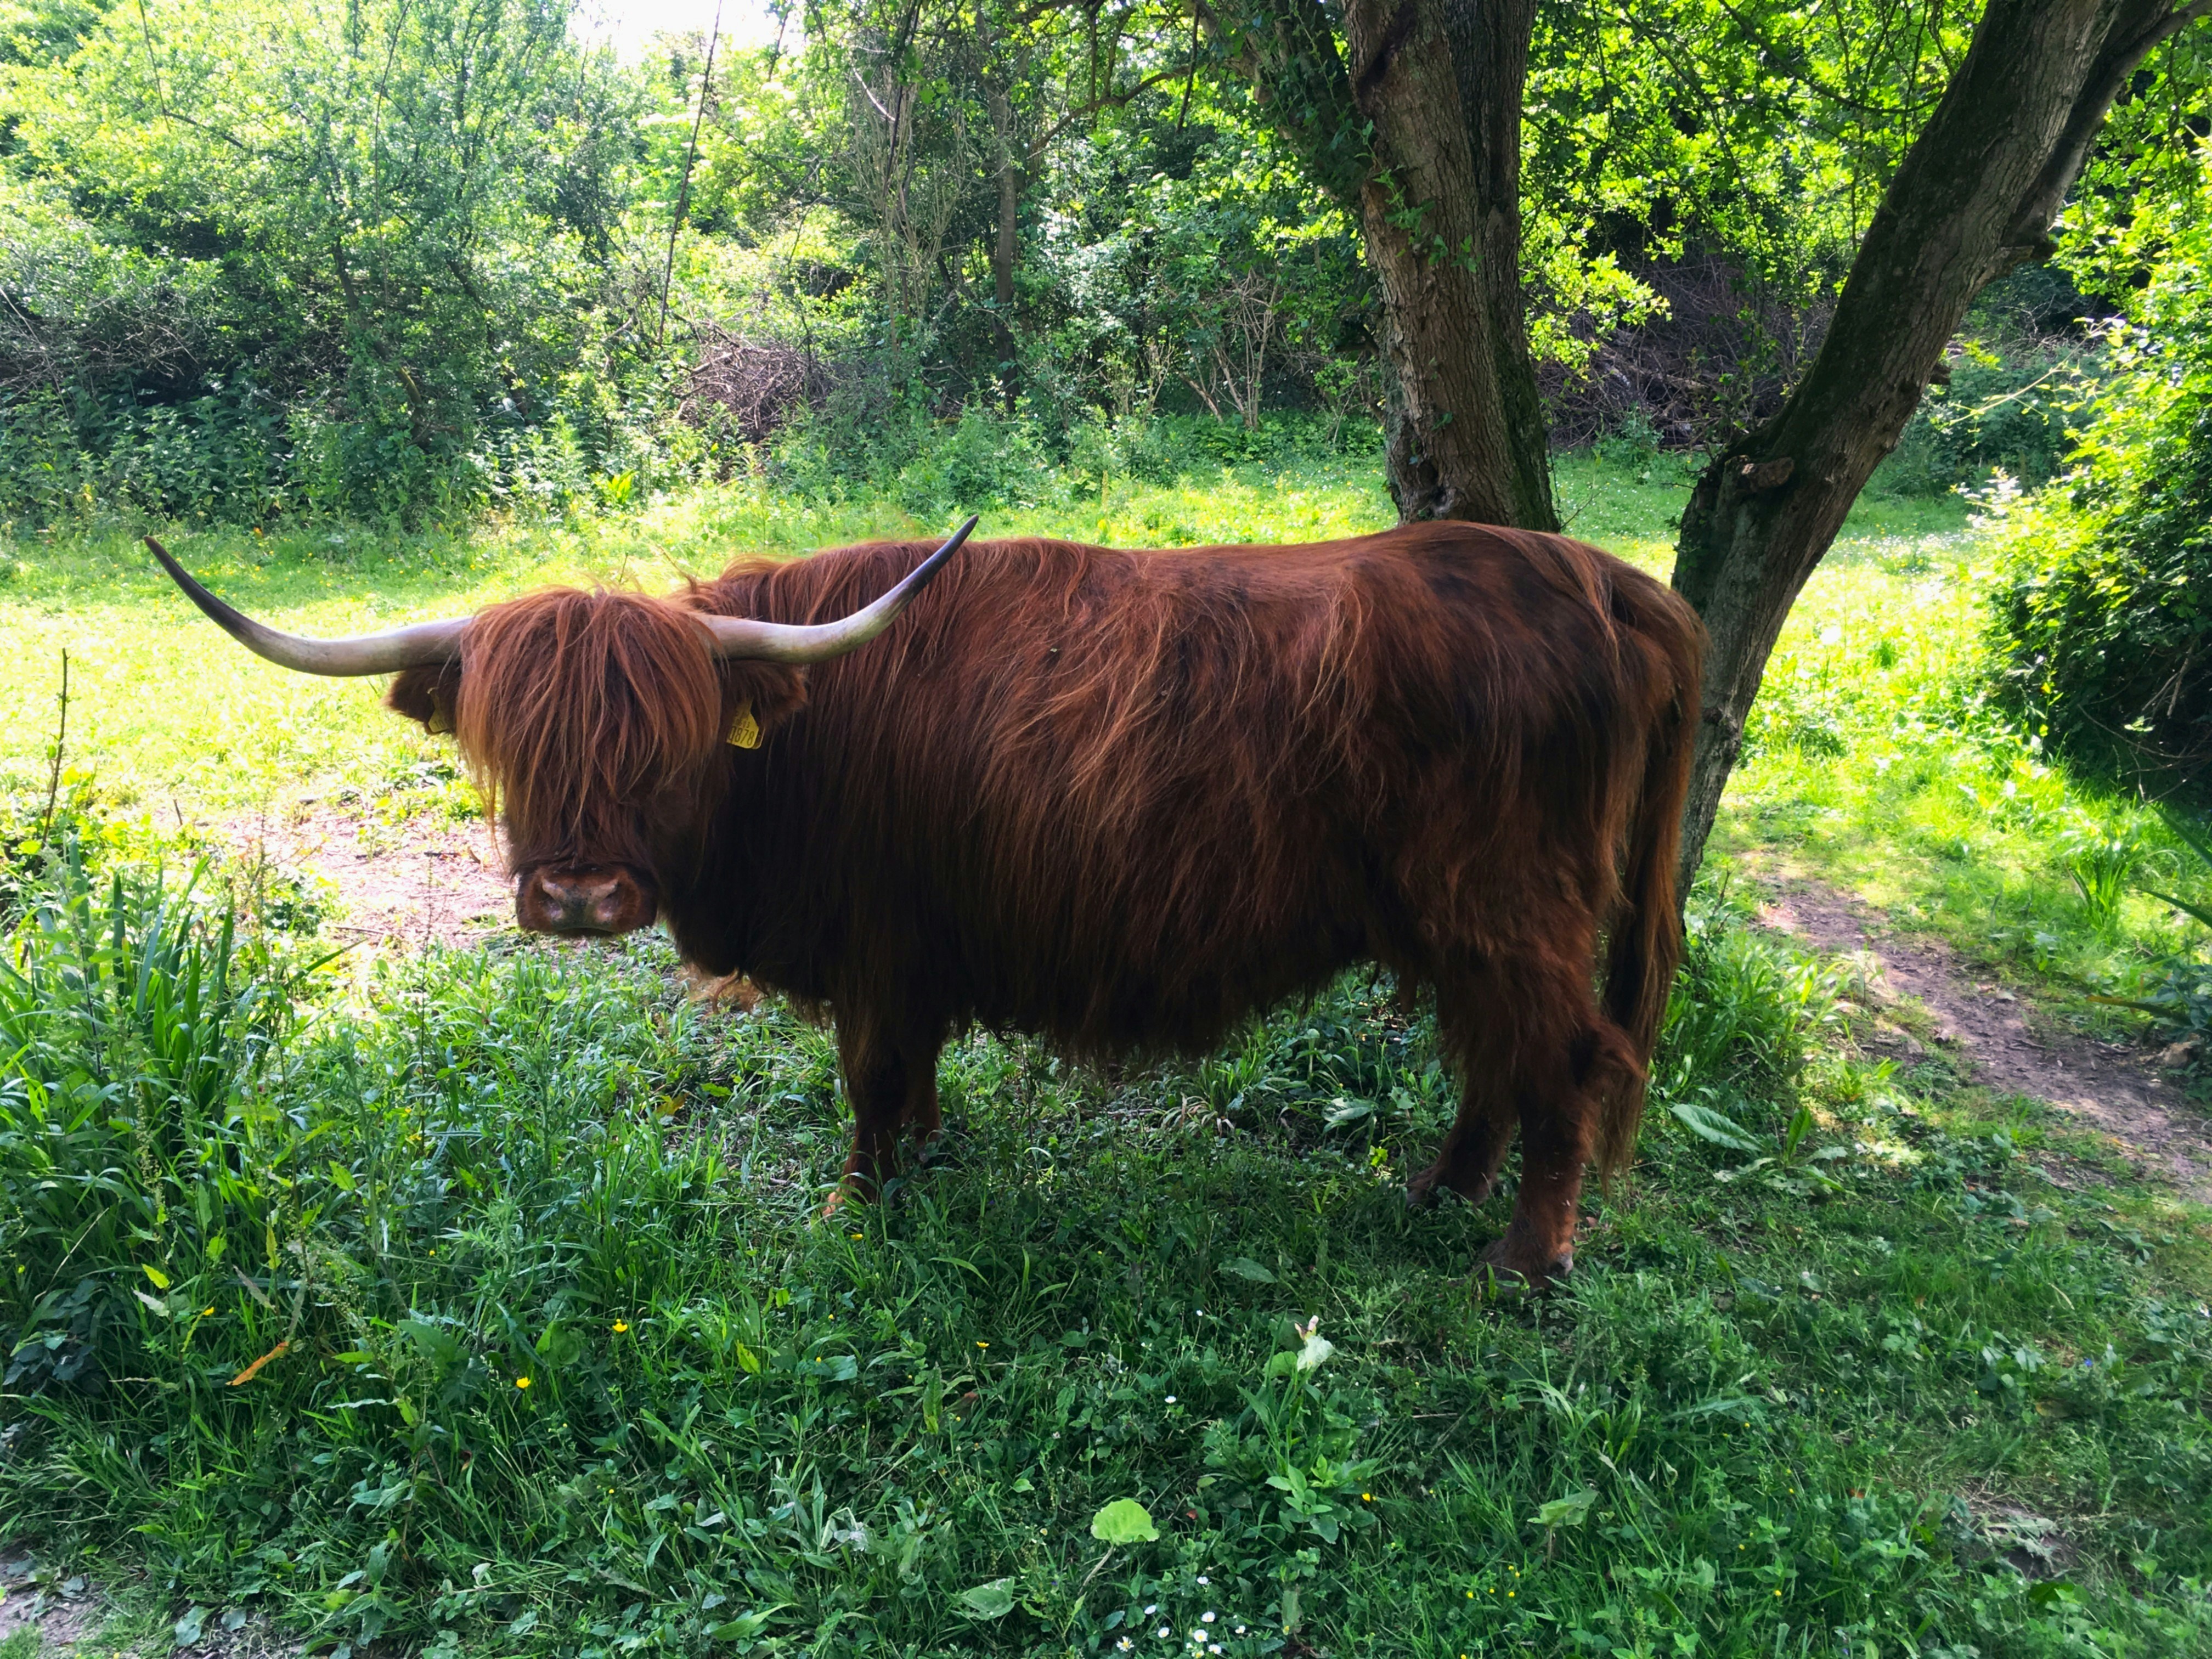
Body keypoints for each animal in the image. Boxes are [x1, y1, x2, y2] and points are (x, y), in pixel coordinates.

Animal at [147, 520, 1703, 1288]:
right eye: (513, 745)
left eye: (663, 747)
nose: (582, 894)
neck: (791, 758)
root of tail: (1597, 577)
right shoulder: (919, 952)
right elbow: (918, 1080)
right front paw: (933, 1162)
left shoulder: (882, 950)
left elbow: (872, 1081)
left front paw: (859, 1206)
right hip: (1467, 917)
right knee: (1496, 1056)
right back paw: (1439, 1190)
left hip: (1510, 901)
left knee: (1566, 1062)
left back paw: (1524, 1262)